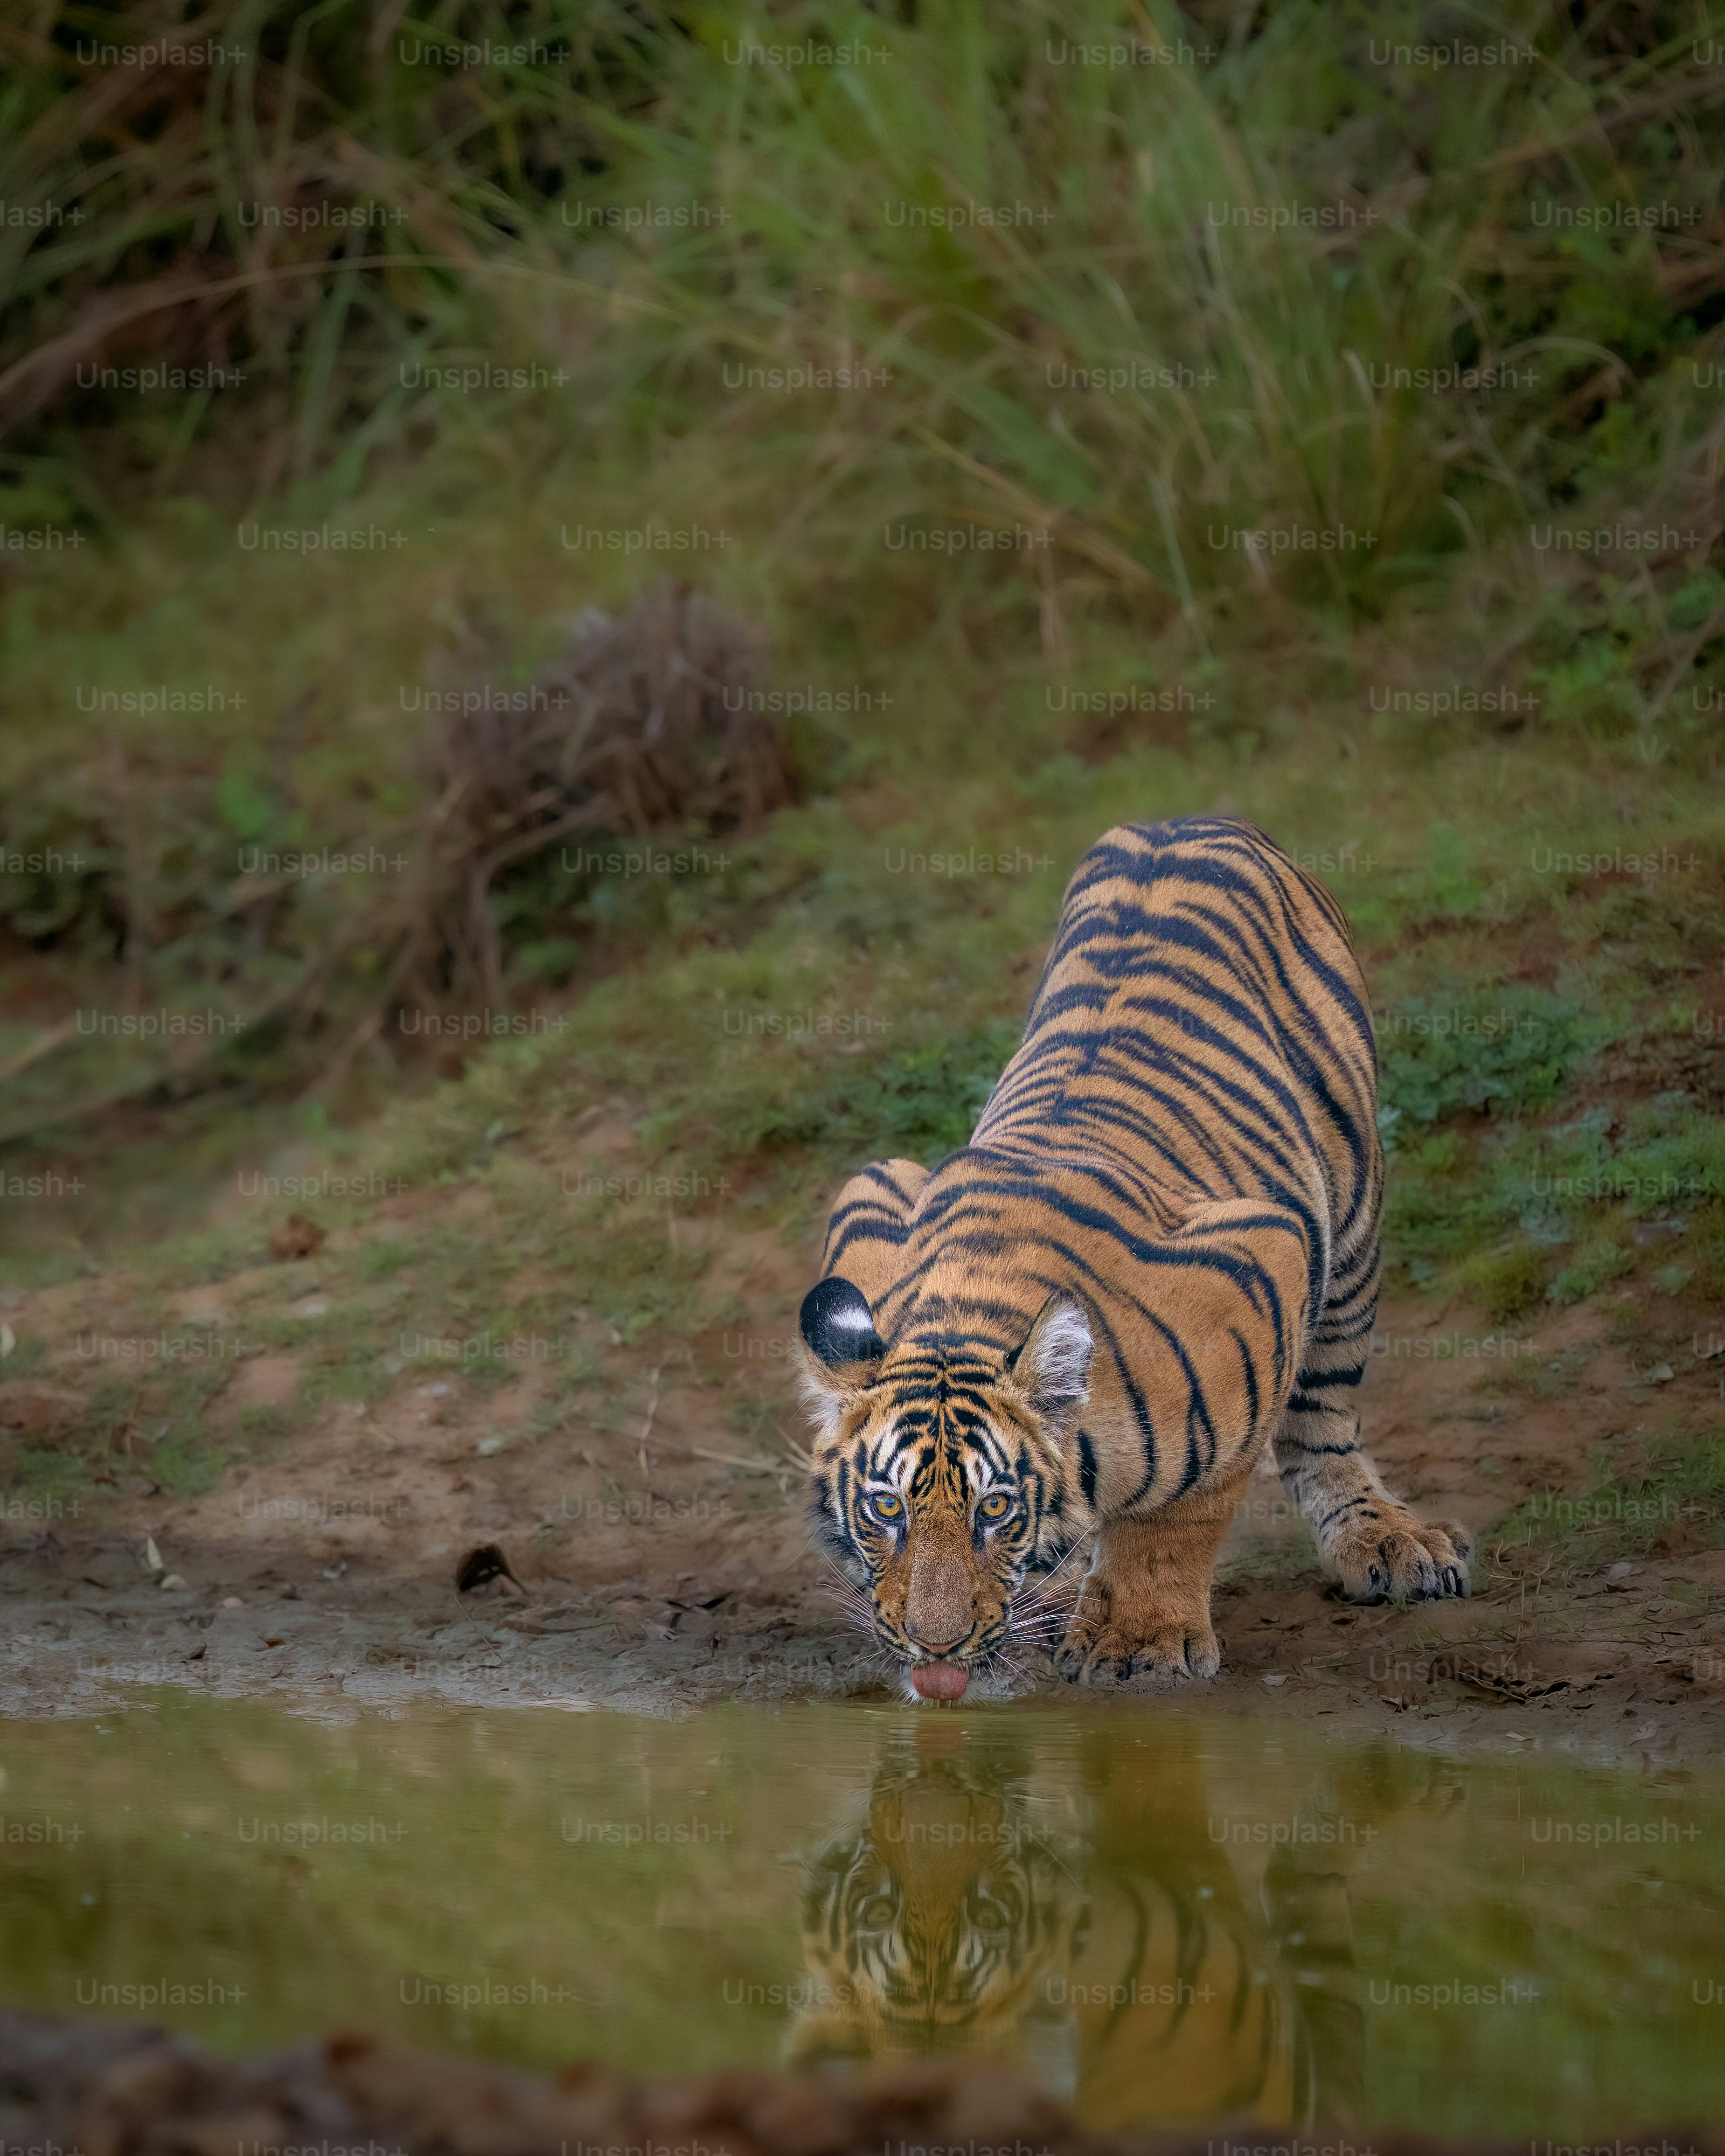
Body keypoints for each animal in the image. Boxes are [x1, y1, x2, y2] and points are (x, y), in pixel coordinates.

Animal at [798, 816, 1470, 1700]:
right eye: (885, 1510)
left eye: (994, 1512)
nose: (933, 1645)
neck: (965, 1310)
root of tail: (1185, 822)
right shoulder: (873, 1192)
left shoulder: (1263, 1251)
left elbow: (1181, 1509)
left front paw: (1140, 1641)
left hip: (1353, 1219)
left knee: (1323, 1419)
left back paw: (1389, 1542)